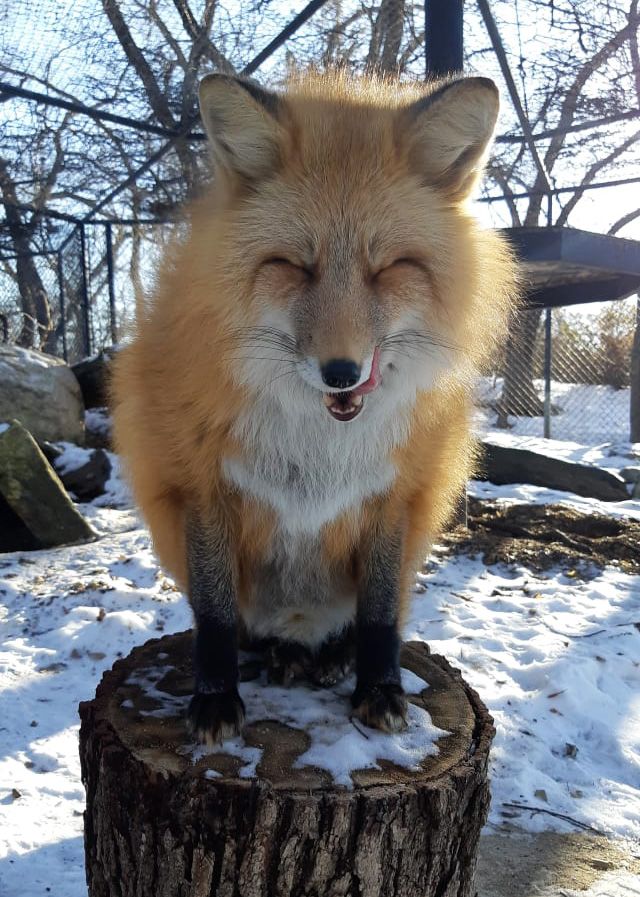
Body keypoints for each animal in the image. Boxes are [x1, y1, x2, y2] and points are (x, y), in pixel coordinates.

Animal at [112, 70, 517, 745]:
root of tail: (299, 627)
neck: (318, 447)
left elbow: (380, 616)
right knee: (249, 628)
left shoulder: (392, 496)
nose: (341, 372)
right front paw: (215, 699)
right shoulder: (202, 487)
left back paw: (330, 658)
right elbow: (215, 616)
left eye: (388, 269)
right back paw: (278, 656)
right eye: (294, 267)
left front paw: (379, 689)